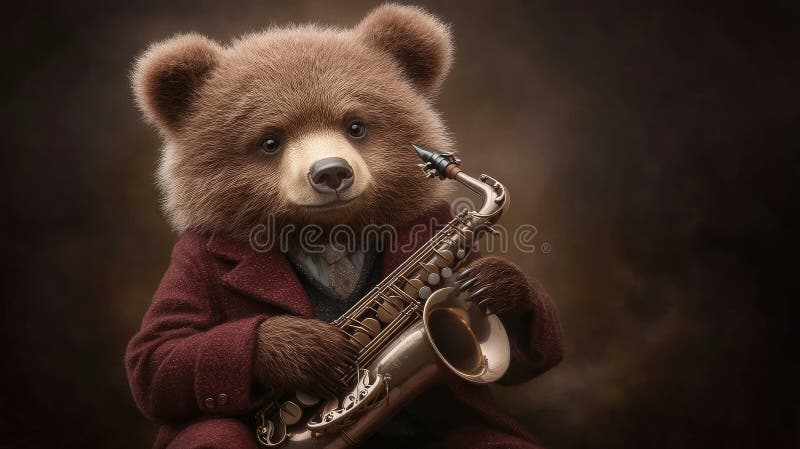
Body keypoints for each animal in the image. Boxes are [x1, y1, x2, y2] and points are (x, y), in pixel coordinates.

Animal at [125, 4, 563, 449]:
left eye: (356, 127)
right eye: (270, 143)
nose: (332, 172)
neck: (329, 233)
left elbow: (531, 357)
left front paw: (497, 282)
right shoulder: (190, 259)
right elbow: (158, 357)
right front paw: (300, 348)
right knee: (209, 422)